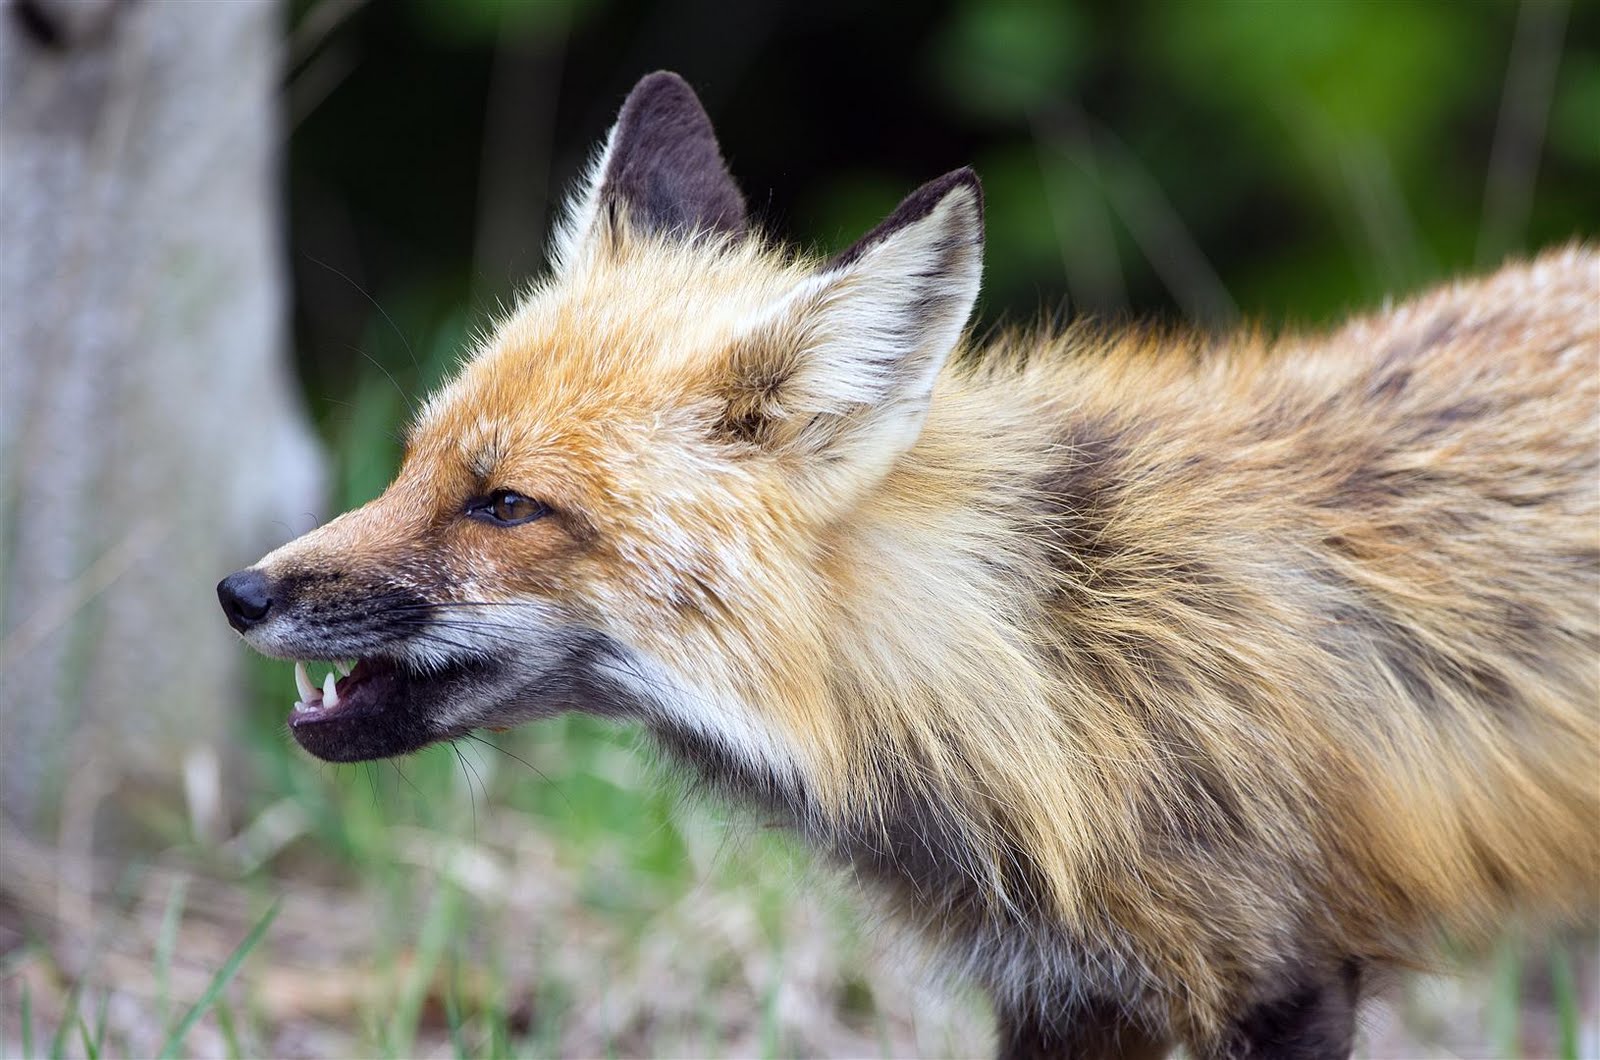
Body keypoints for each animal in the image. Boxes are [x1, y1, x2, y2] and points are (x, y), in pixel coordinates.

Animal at [218, 72, 1599, 1059]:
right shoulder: (1065, 992)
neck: (1053, 660)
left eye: (506, 504)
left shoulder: (1284, 974)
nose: (239, 593)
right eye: (409, 465)